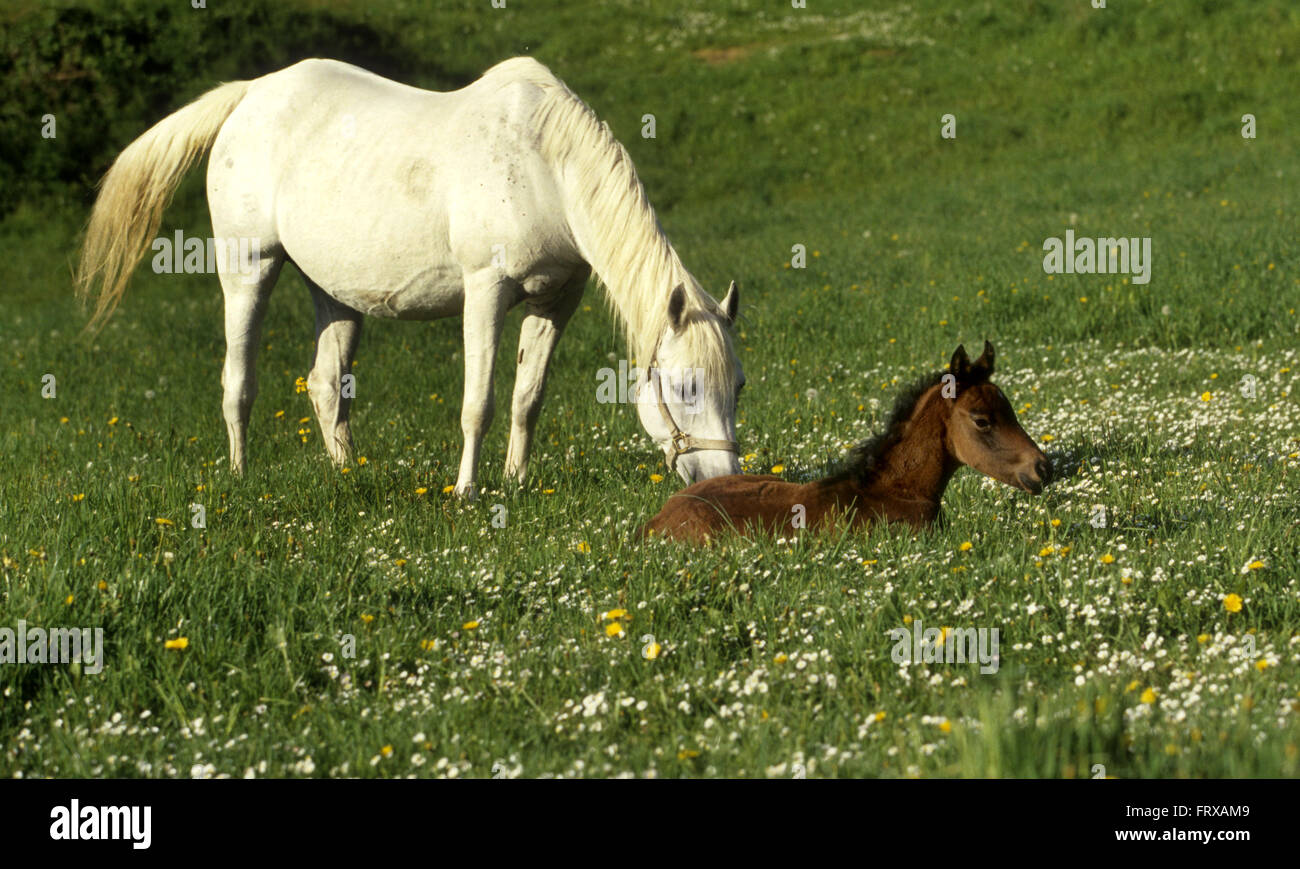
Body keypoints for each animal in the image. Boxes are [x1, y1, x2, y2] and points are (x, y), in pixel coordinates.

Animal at [75, 57, 745, 498]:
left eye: (737, 387)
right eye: (684, 387)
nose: (723, 483)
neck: (543, 165)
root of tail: (248, 96)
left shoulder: (557, 299)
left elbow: (528, 398)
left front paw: (516, 480)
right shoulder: (486, 291)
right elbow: (480, 402)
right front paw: (468, 493)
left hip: (333, 292)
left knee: (326, 385)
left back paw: (347, 475)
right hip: (249, 268)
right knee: (237, 382)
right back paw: (240, 478)